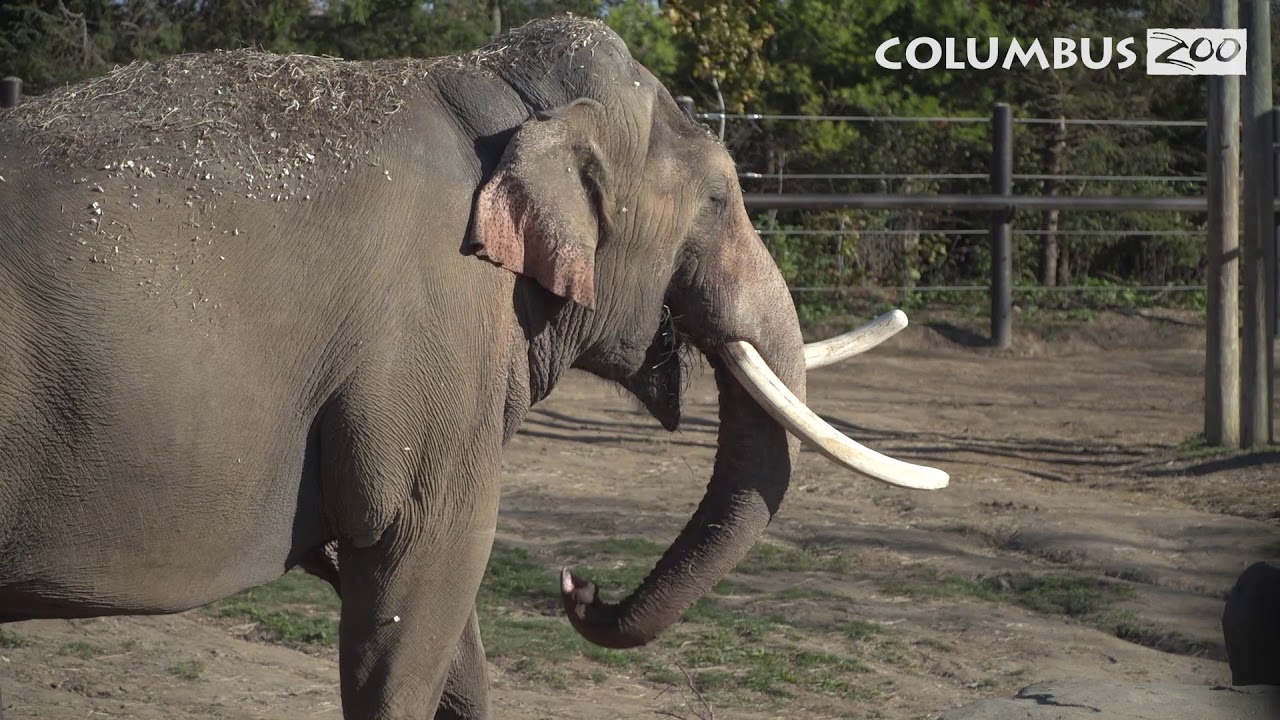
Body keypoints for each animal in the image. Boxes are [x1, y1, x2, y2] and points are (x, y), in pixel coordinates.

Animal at [0, 15, 947, 720]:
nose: (579, 584)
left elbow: (435, 615)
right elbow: (429, 557)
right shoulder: (436, 332)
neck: (487, 89)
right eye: (719, 197)